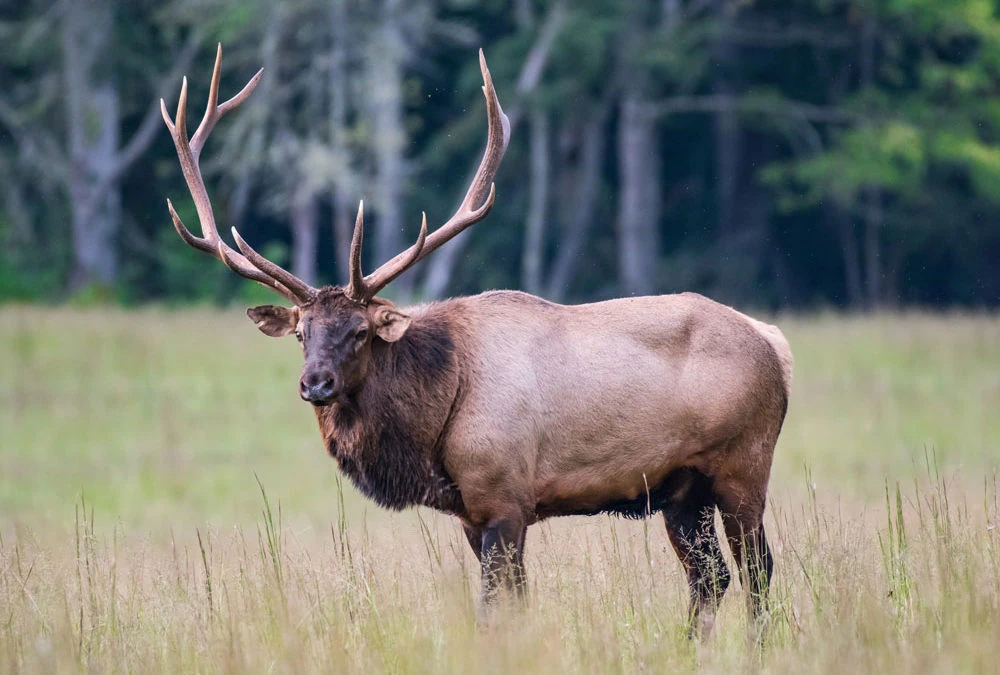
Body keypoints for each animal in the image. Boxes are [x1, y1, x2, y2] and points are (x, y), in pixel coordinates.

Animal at [161, 44, 793, 638]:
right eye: (300, 332)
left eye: (361, 332)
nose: (315, 384)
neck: (433, 422)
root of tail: (775, 343)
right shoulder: (472, 513)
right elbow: (514, 605)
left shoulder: (506, 498)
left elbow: (494, 609)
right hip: (682, 490)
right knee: (710, 578)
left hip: (743, 465)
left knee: (759, 572)